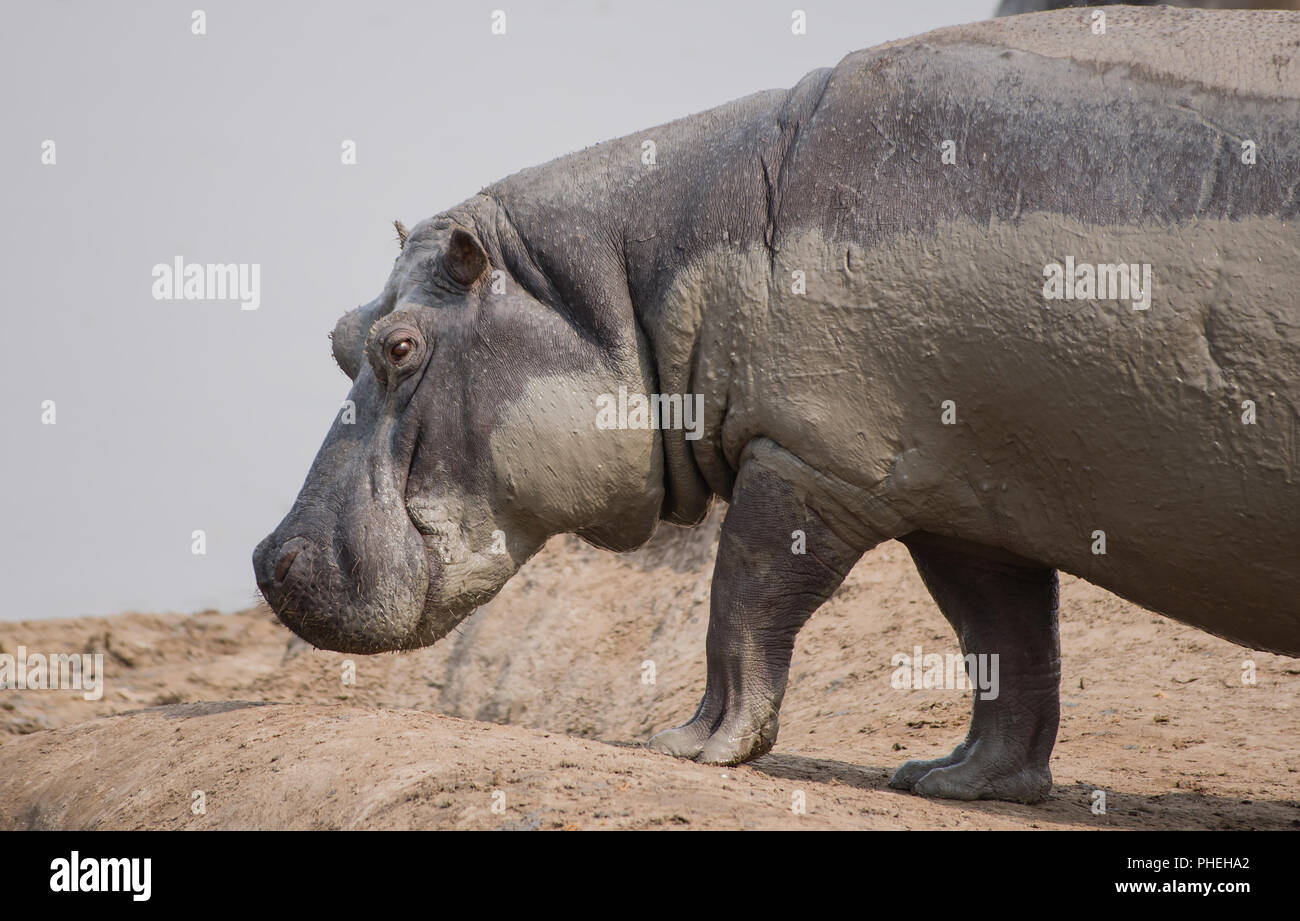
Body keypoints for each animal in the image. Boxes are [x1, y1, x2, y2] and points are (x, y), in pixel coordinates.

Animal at [254, 5, 1300, 803]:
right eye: (340, 333)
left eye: (401, 347)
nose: (269, 558)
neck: (616, 285)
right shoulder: (965, 504)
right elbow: (1005, 645)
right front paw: (959, 781)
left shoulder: (808, 460)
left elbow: (742, 601)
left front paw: (693, 744)